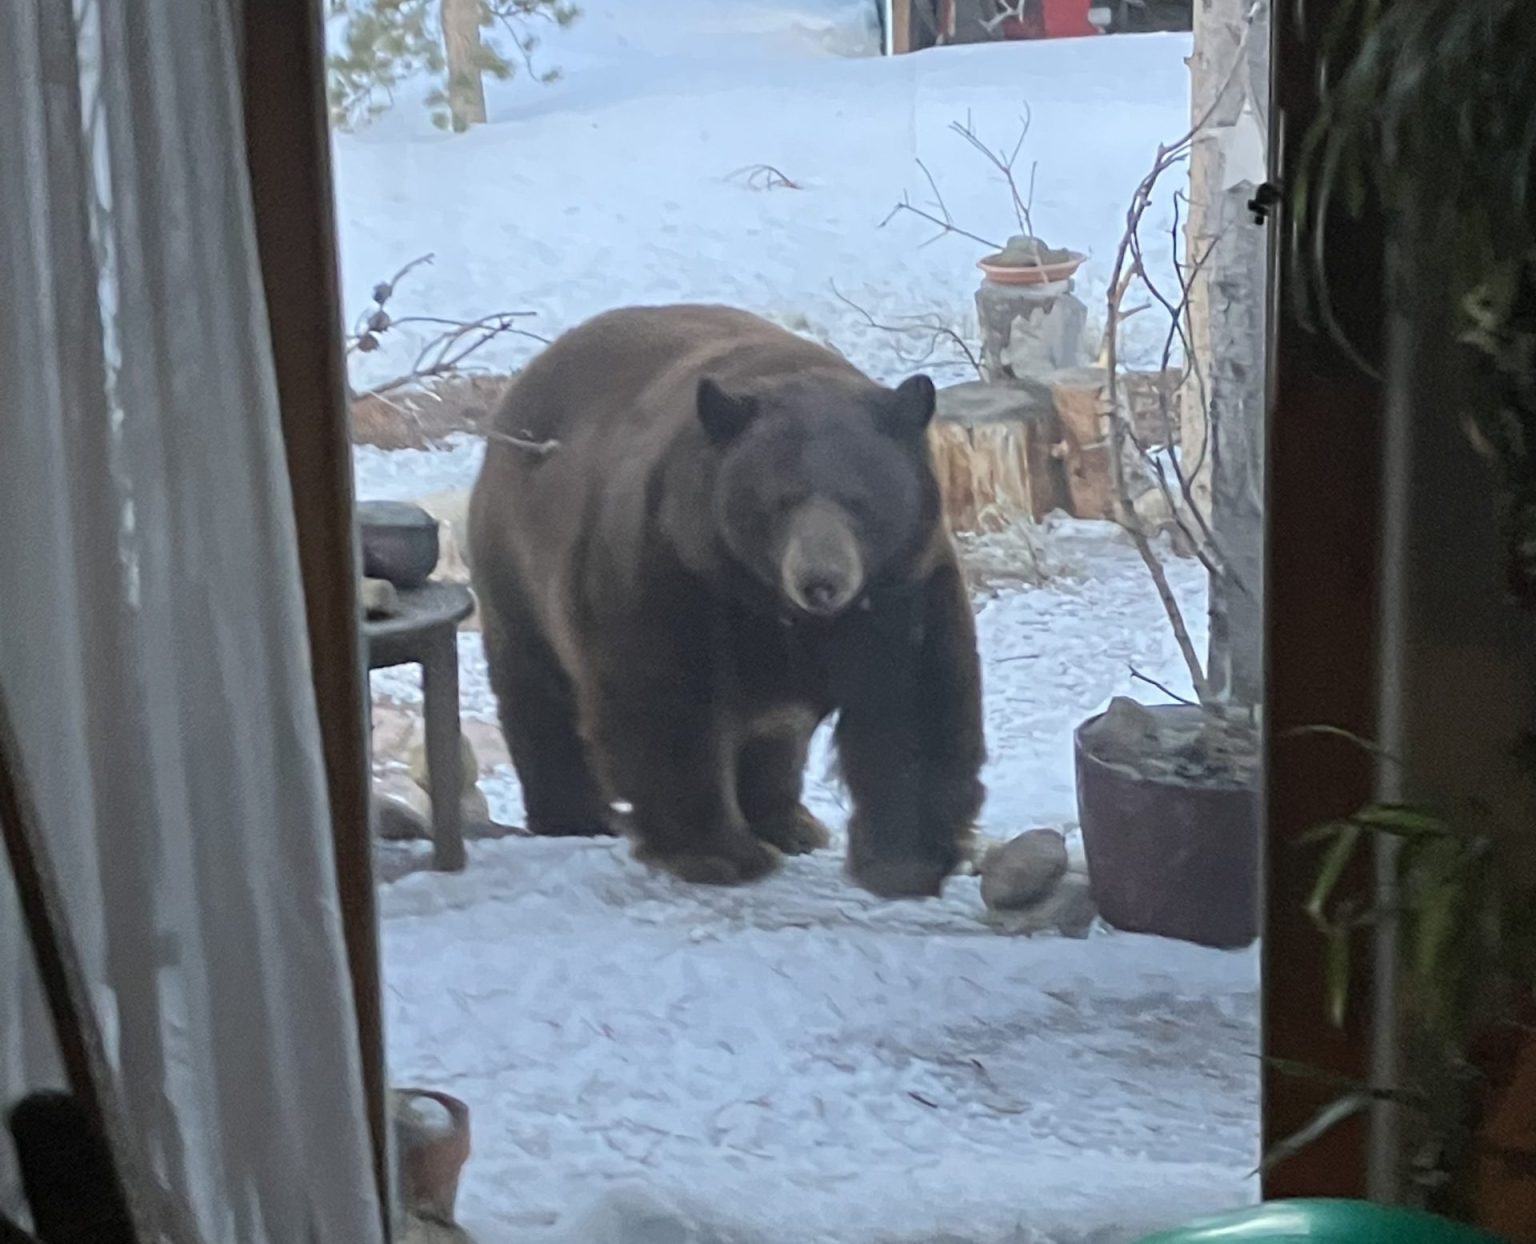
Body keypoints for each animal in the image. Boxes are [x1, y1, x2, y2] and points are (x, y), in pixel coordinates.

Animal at [468, 304, 985, 898]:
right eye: (780, 500)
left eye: (859, 500)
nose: (822, 581)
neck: (769, 599)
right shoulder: (676, 570)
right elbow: (667, 700)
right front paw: (719, 854)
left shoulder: (899, 582)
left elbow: (910, 701)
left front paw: (905, 860)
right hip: (518, 560)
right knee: (539, 694)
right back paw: (574, 817)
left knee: (775, 738)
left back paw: (790, 823)